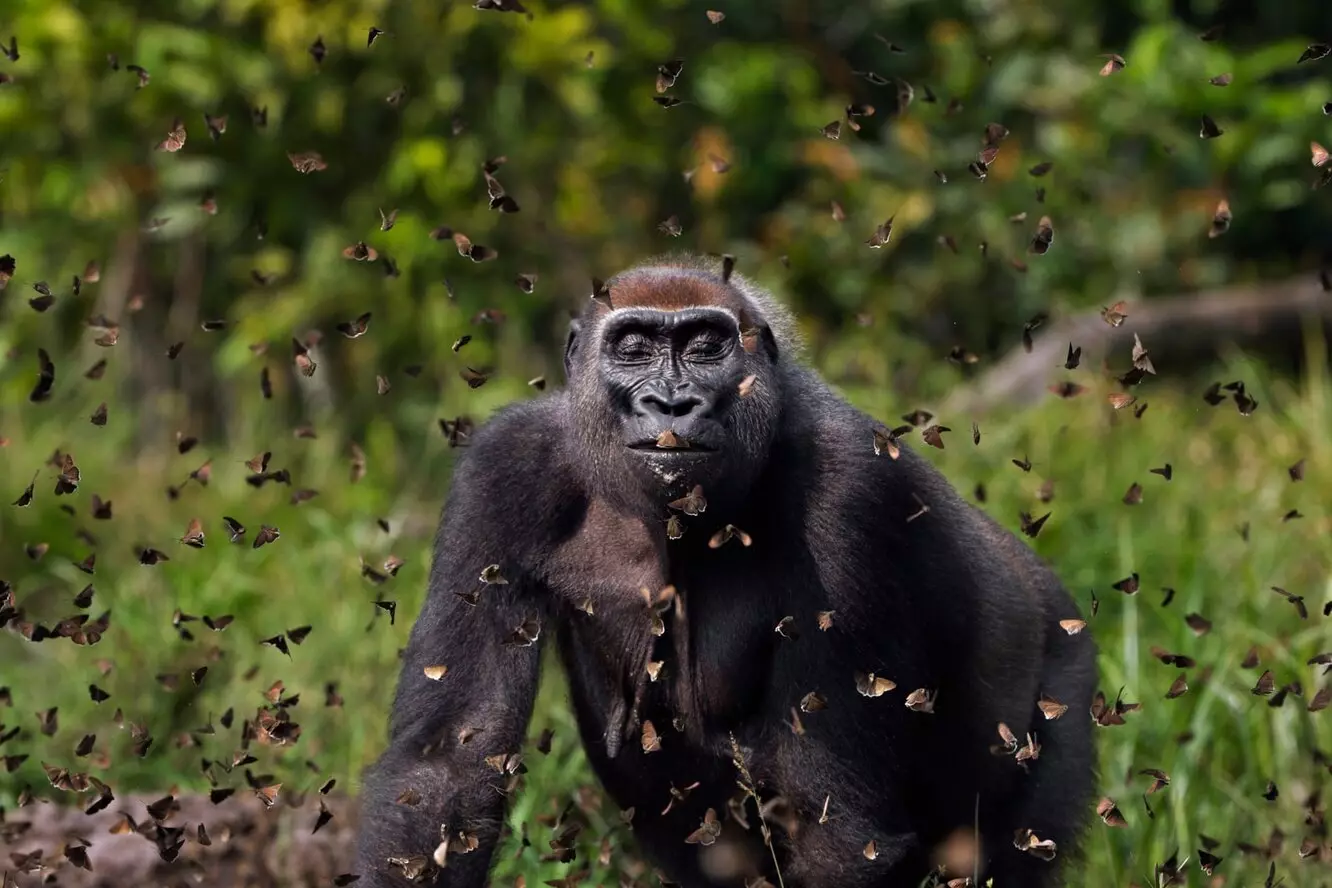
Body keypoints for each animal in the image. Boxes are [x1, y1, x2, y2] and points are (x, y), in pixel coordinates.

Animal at [351, 255, 1092, 888]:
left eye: (706, 345)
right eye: (634, 347)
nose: (672, 404)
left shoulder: (852, 485)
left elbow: (839, 829)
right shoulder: (504, 469)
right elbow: (448, 769)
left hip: (1063, 669)